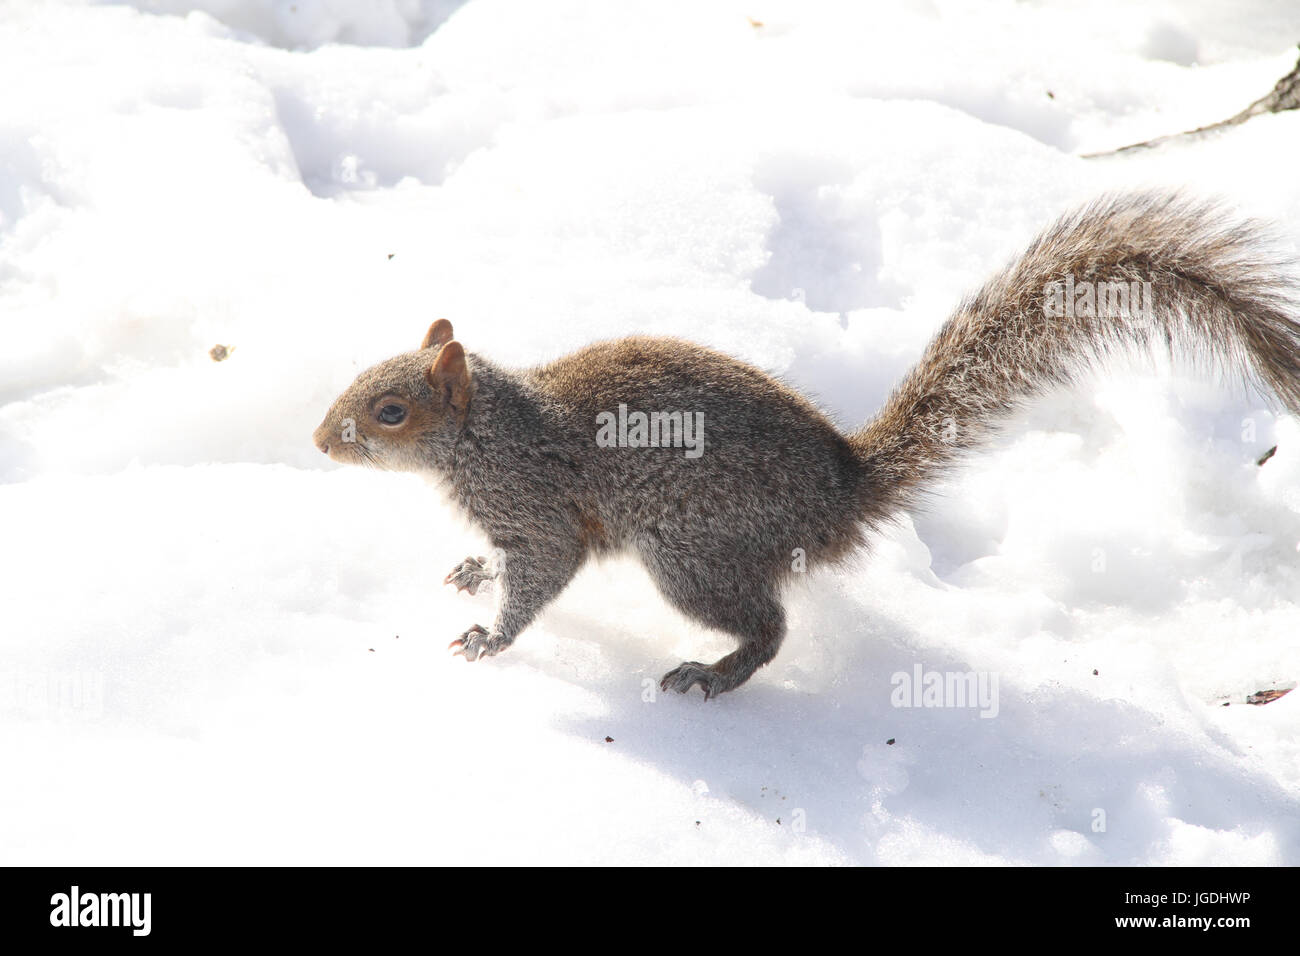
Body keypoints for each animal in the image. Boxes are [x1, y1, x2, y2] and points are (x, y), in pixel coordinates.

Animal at [313, 191, 1300, 700]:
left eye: (390, 411)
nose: (321, 441)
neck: (487, 433)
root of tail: (842, 492)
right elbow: (499, 559)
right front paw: (472, 571)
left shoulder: (542, 506)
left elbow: (543, 573)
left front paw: (490, 637)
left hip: (695, 554)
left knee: (771, 625)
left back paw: (714, 672)